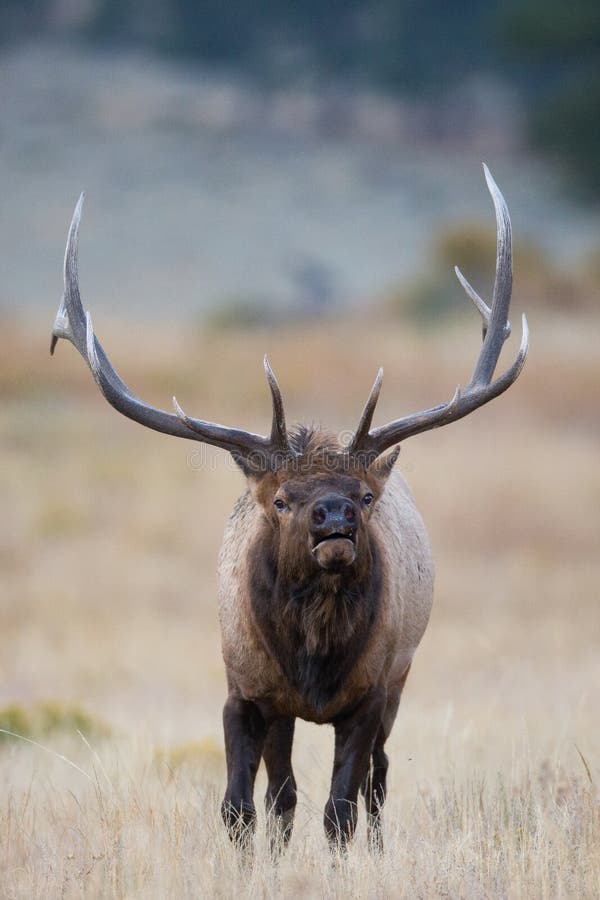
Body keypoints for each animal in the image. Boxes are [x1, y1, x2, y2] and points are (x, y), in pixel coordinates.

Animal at [50, 165, 528, 853]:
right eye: (280, 499)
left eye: (365, 496)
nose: (335, 520)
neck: (312, 663)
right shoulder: (245, 691)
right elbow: (241, 807)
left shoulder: (370, 694)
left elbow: (341, 808)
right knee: (284, 793)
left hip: (401, 677)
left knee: (378, 780)